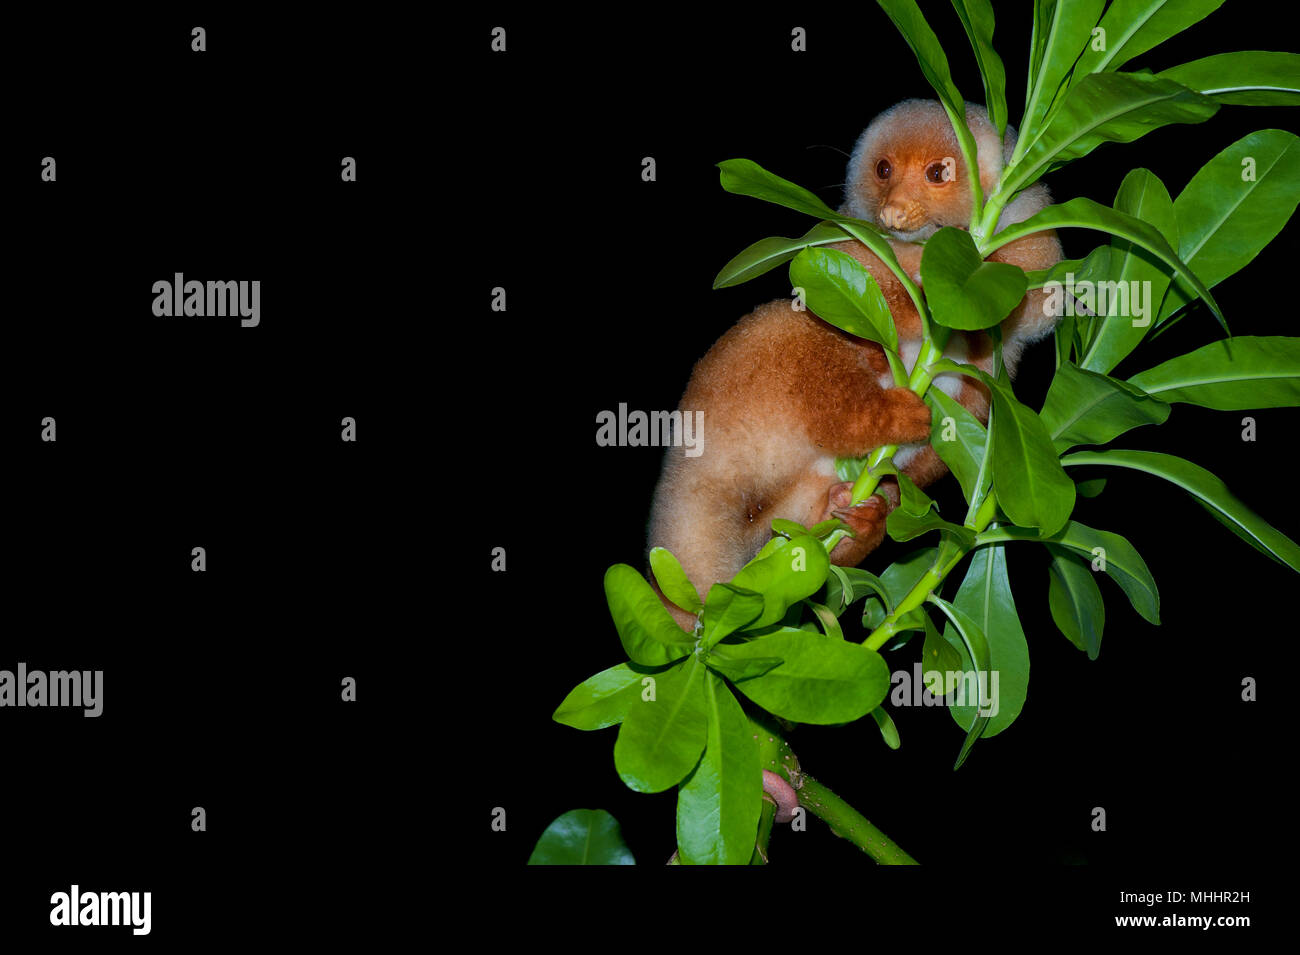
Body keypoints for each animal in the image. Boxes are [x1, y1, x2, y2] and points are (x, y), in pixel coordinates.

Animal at [647, 100, 1064, 633]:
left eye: (937, 173)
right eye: (883, 170)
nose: (891, 212)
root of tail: (691, 466)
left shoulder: (1030, 231)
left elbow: (1038, 294)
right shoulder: (846, 245)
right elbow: (849, 285)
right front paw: (929, 305)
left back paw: (858, 519)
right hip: (745, 396)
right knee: (804, 338)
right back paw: (883, 416)